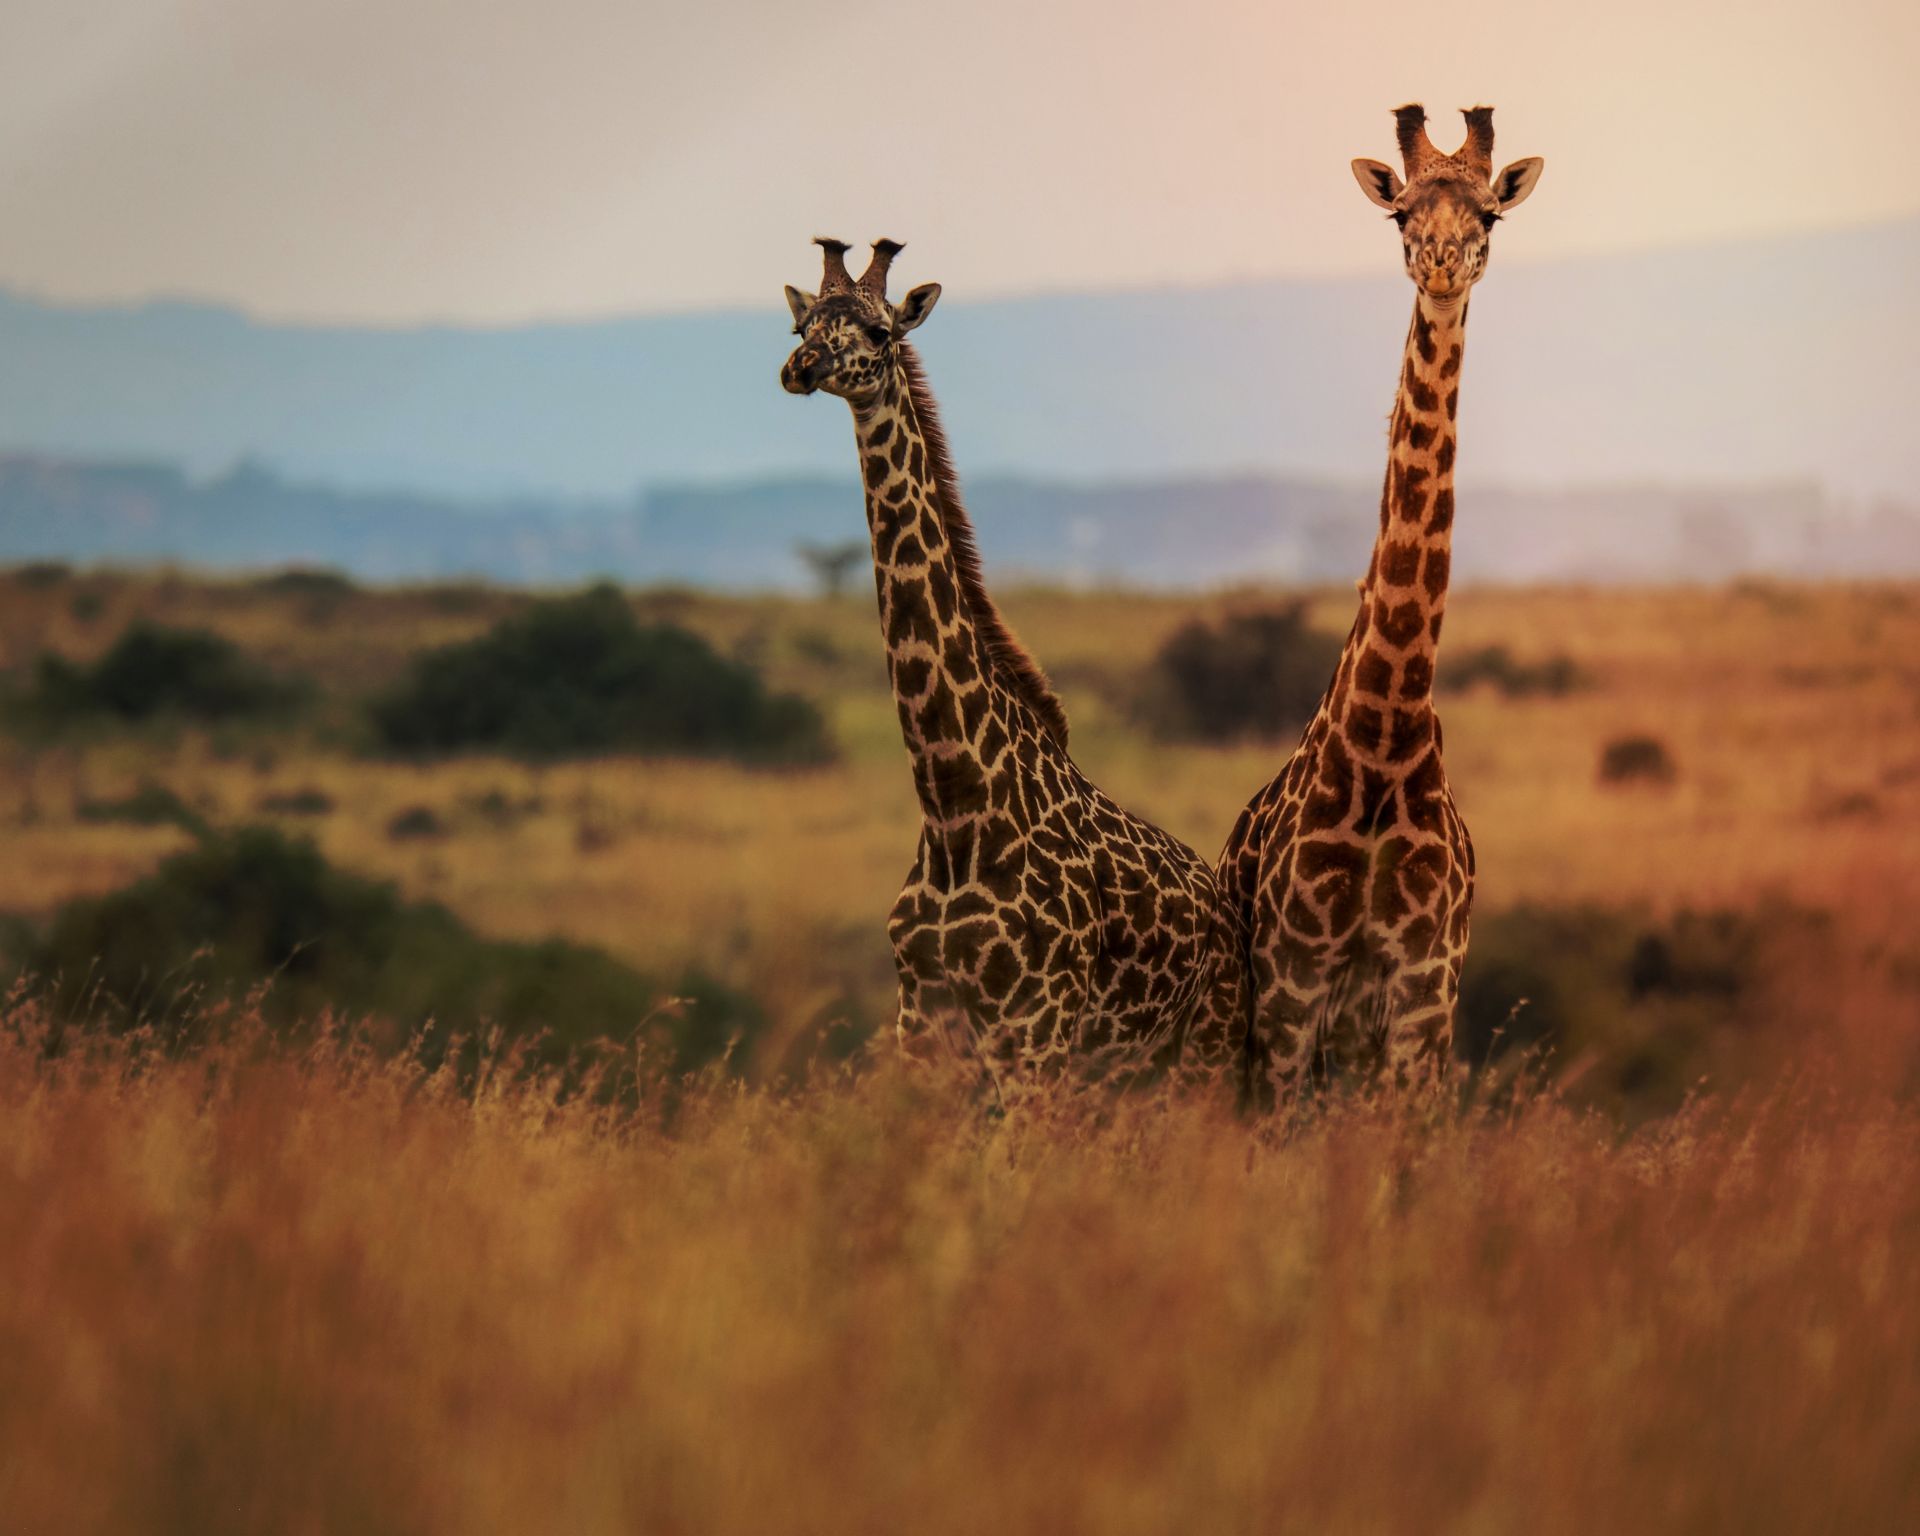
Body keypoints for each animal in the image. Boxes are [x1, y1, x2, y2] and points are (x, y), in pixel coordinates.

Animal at [780, 237, 1247, 1094]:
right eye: (803, 322)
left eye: (879, 330)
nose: (801, 366)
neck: (953, 803)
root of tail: (1224, 902)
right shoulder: (924, 1028)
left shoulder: (1035, 1033)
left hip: (1200, 1054)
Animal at [1217, 105, 1544, 1106]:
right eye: (1402, 212)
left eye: (1489, 213)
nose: (1440, 264)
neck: (1385, 740)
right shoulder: (1290, 991)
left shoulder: (1425, 999)